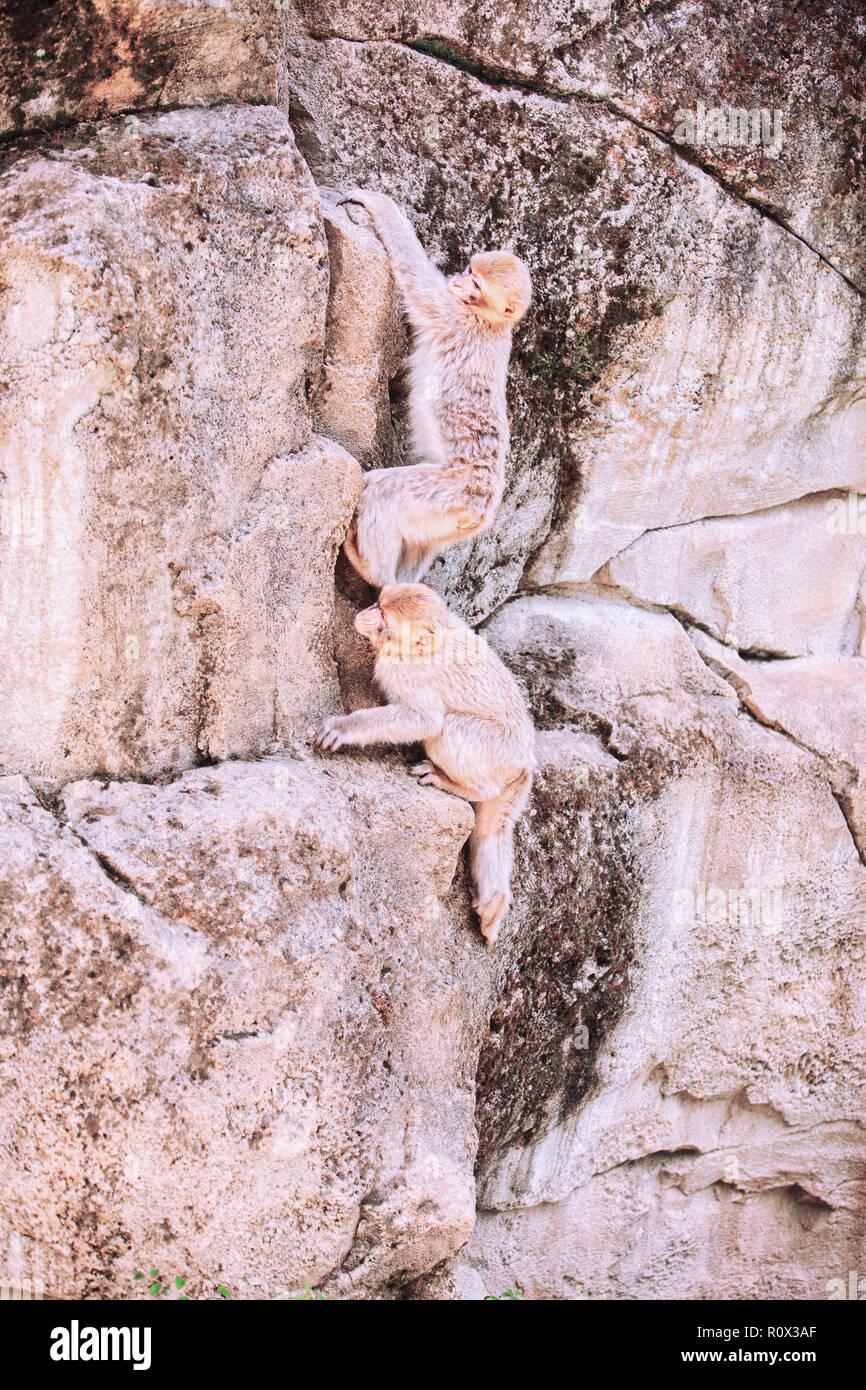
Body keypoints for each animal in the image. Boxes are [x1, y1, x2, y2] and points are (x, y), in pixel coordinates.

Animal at [315, 583, 535, 946]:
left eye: (383, 617)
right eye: (378, 603)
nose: (365, 613)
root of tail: (526, 764)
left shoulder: (408, 675)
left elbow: (424, 721)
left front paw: (345, 728)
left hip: (496, 752)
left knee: (449, 728)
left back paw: (461, 785)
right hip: (513, 780)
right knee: (492, 828)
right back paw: (494, 902)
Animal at [338, 189, 532, 589]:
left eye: (476, 284)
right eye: (469, 272)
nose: (458, 280)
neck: (492, 321)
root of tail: (482, 511)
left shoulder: (451, 312)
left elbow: (414, 274)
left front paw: (379, 205)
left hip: (446, 492)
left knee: (383, 491)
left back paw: (375, 573)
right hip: (447, 520)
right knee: (422, 539)